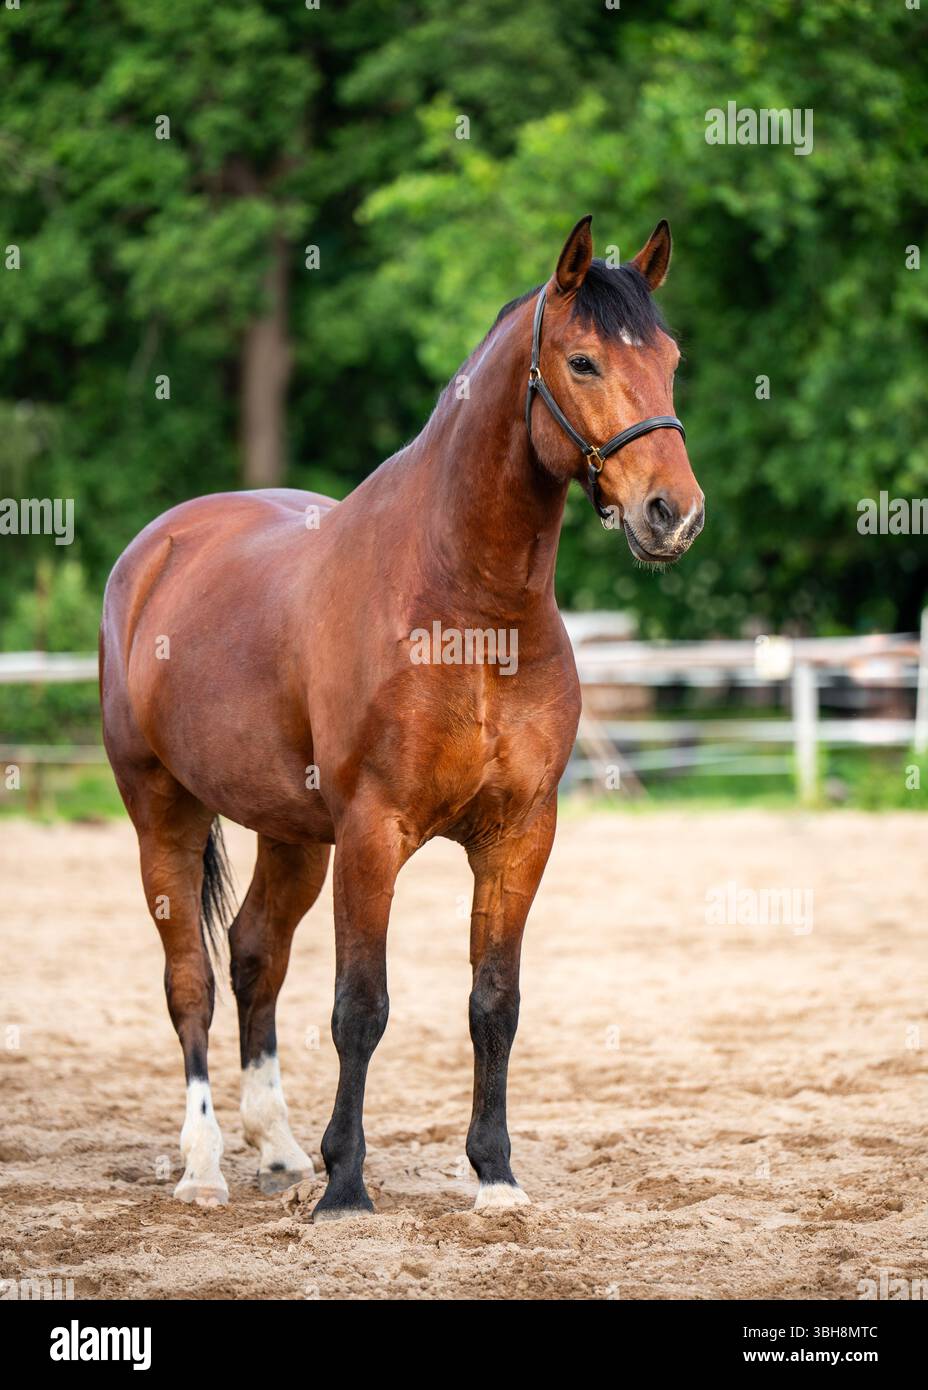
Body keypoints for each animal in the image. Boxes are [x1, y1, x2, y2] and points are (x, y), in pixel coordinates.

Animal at [100, 215, 704, 1220]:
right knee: (191, 980)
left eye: (670, 358)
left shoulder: (519, 835)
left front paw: (495, 1176)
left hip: (292, 834)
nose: (674, 514)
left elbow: (494, 1005)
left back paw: (278, 1151)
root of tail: (156, 549)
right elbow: (361, 1007)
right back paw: (204, 1165)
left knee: (255, 955)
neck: (468, 607)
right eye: (582, 361)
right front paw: (348, 1185)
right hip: (164, 811)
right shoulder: (373, 833)